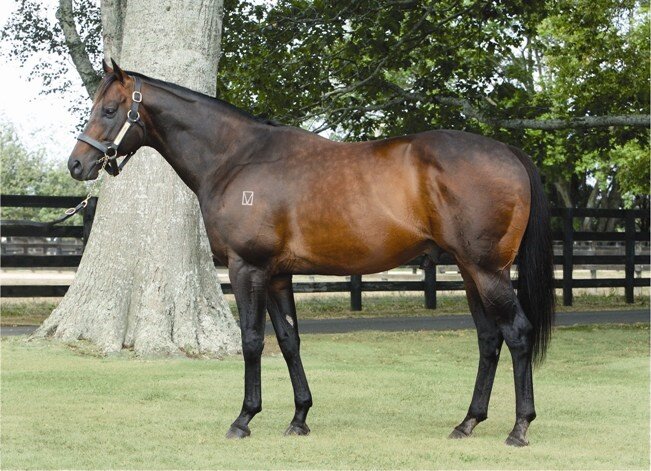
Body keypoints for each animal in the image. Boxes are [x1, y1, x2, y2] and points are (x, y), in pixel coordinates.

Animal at [68, 60, 555, 447]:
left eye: (109, 110)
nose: (76, 164)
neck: (235, 158)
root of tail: (508, 150)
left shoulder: (248, 269)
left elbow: (251, 341)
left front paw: (243, 419)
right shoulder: (278, 274)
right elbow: (288, 340)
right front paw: (299, 417)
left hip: (487, 271)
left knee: (517, 333)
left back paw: (519, 428)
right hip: (471, 273)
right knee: (489, 340)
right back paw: (467, 422)